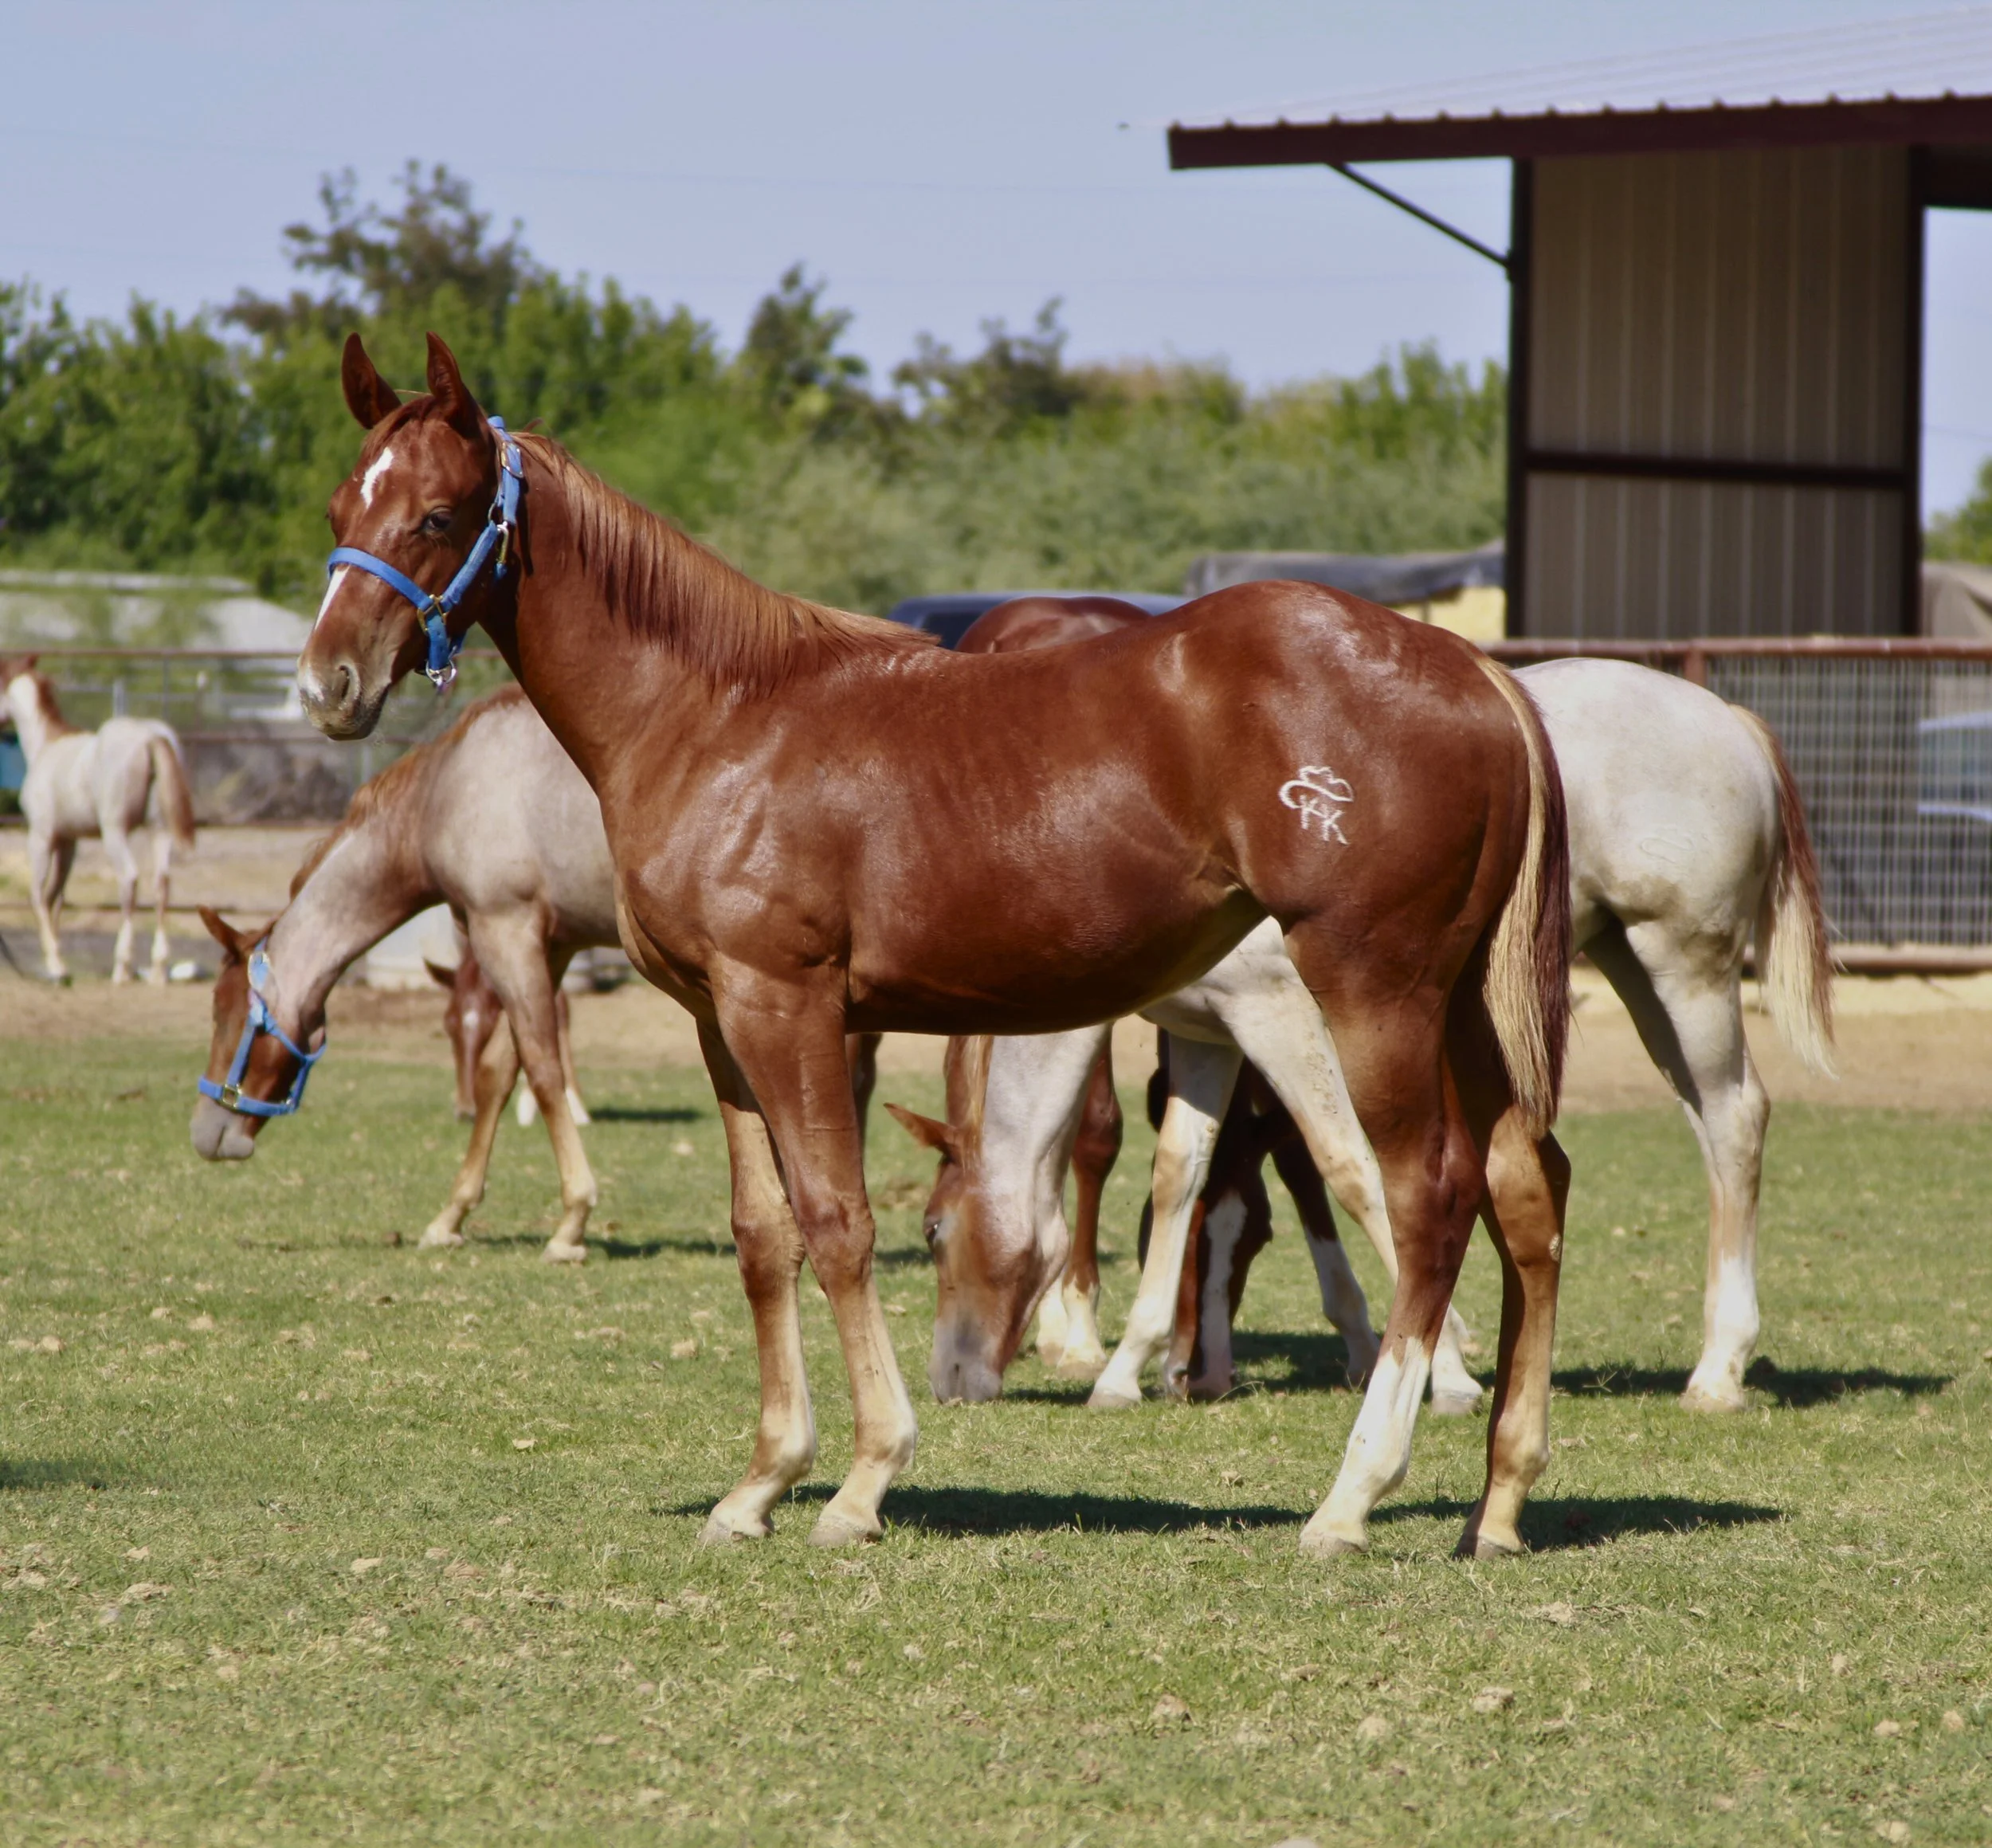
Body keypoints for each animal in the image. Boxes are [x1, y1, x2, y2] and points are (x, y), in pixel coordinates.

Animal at [0, 657, 195, 984]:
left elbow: (38, 896)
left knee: (129, 879)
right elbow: (56, 896)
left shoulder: (41, 837)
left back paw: (122, 966)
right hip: (160, 830)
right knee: (162, 883)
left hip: (114, 832)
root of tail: (151, 736)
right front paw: (56, 960)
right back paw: (158, 970)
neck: (46, 746)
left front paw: (56, 965)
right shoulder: (69, 841)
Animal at [191, 684, 619, 1260]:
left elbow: (543, 1070)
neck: (450, 788)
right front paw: (452, 1215)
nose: (204, 1131)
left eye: (225, 1015)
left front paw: (572, 1220)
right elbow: (499, 1073)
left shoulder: (507, 933)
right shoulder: (551, 947)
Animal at [291, 332, 1569, 1562]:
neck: (716, 716)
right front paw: (759, 1484)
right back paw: (1499, 1502)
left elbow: (835, 1223)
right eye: (340, 507)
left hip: (1374, 991)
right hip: (1461, 1004)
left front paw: (862, 1481)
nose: (326, 686)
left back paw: (1352, 1498)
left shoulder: (788, 1008)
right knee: (1525, 1185)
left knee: (1429, 1195)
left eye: (437, 515)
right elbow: (763, 1236)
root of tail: (1476, 672)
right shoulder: (721, 1023)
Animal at [910, 599, 1832, 1414]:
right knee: (1706, 1121)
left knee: (1734, 1118)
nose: (951, 1381)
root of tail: (1728, 718)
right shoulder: (1209, 1037)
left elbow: (1349, 1168)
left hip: (1684, 966)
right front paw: (1125, 1371)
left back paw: (1718, 1371)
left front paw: (1444, 1367)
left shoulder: (1281, 1020)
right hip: (1632, 967)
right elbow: (1179, 1178)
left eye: (932, 1231)